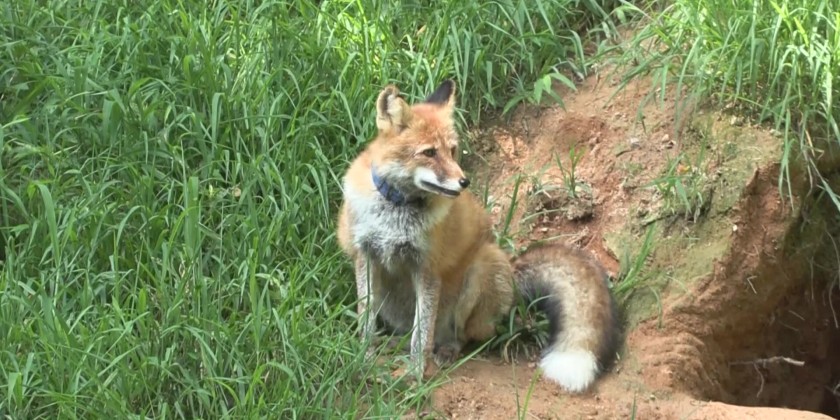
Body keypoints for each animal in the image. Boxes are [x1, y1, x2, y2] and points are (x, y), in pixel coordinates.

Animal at [336, 79, 620, 393]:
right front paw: (364, 359)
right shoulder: (365, 256)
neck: (396, 211)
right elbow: (366, 321)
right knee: (411, 331)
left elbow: (421, 335)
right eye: (429, 153)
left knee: (462, 337)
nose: (464, 181)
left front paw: (415, 376)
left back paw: (446, 350)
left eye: (452, 150)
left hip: (481, 268)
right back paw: (393, 344)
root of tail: (512, 272)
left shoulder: (427, 268)